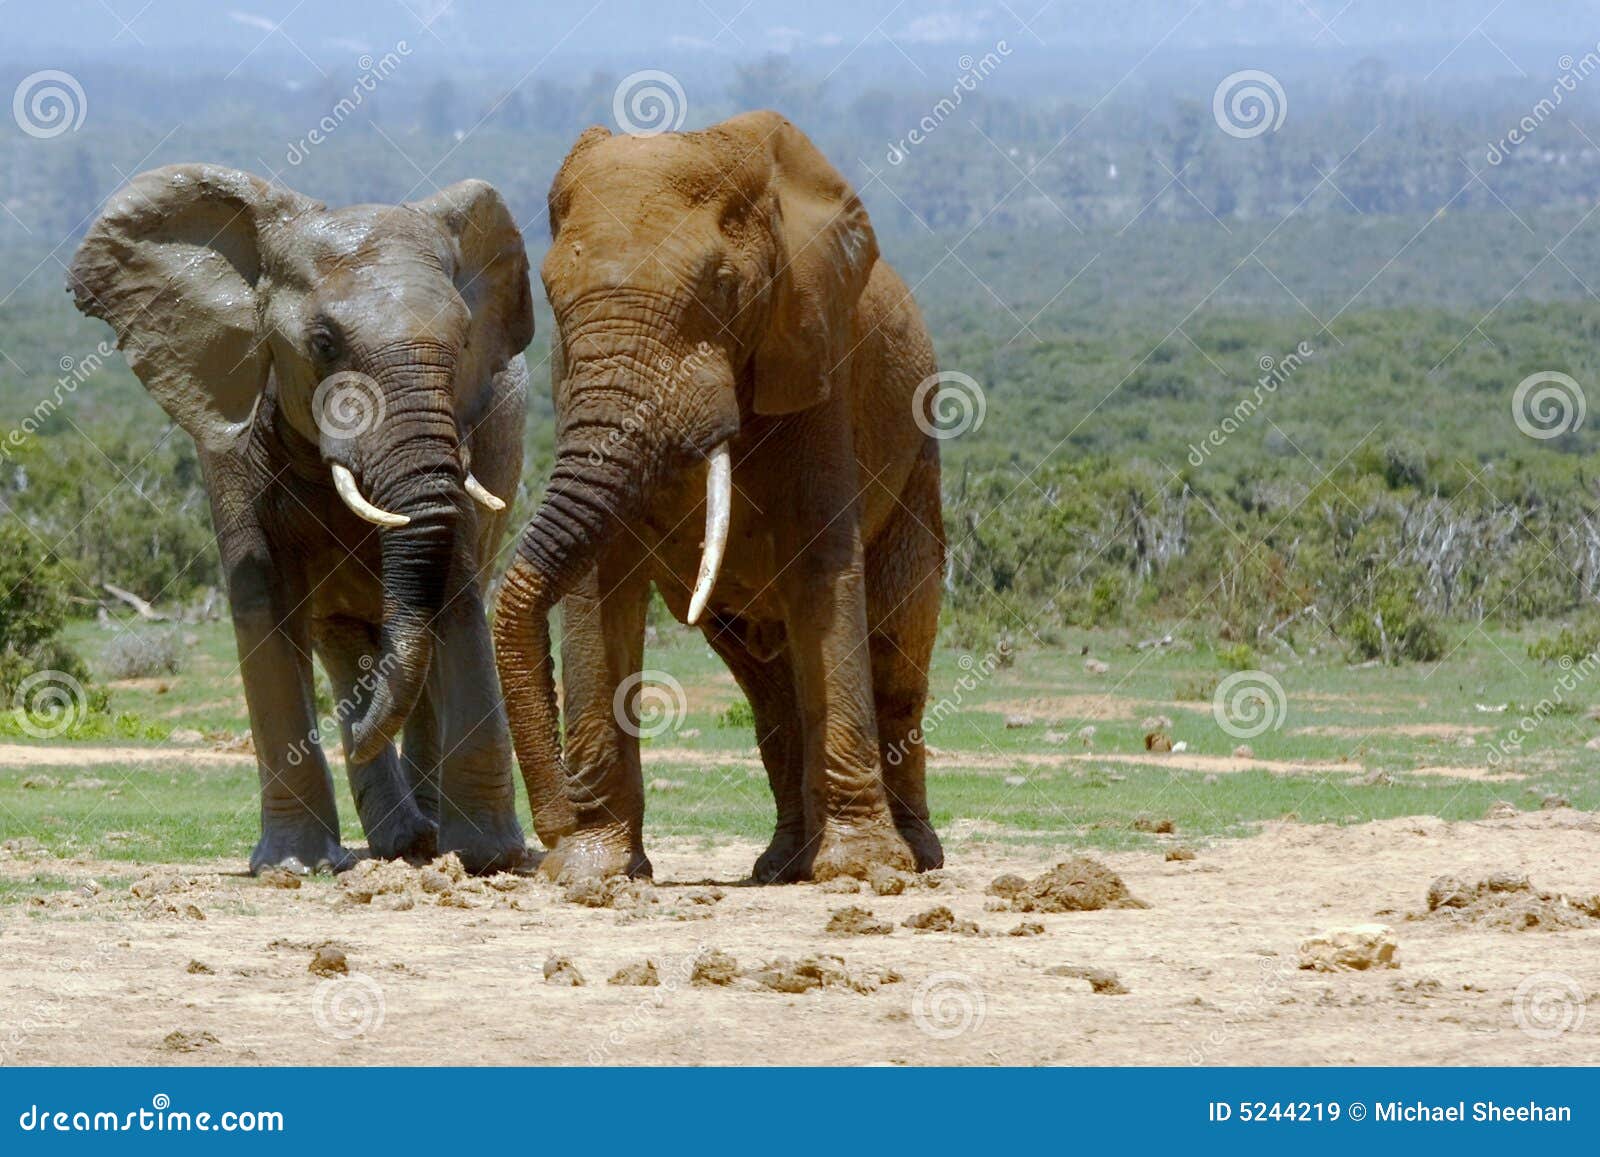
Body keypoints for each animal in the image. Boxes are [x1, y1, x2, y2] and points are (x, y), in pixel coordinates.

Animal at [69, 165, 534, 875]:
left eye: (461, 342)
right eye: (323, 345)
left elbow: (453, 585)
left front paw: (489, 860)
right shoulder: (230, 424)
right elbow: (262, 593)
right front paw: (292, 867)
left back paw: (421, 840)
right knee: (342, 640)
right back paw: (402, 837)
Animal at [493, 110, 947, 884]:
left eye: (721, 286)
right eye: (550, 292)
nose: (547, 826)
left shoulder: (816, 357)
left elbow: (824, 567)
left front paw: (861, 870)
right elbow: (598, 578)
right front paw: (591, 872)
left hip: (920, 460)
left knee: (896, 651)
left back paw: (914, 858)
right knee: (766, 684)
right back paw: (782, 865)